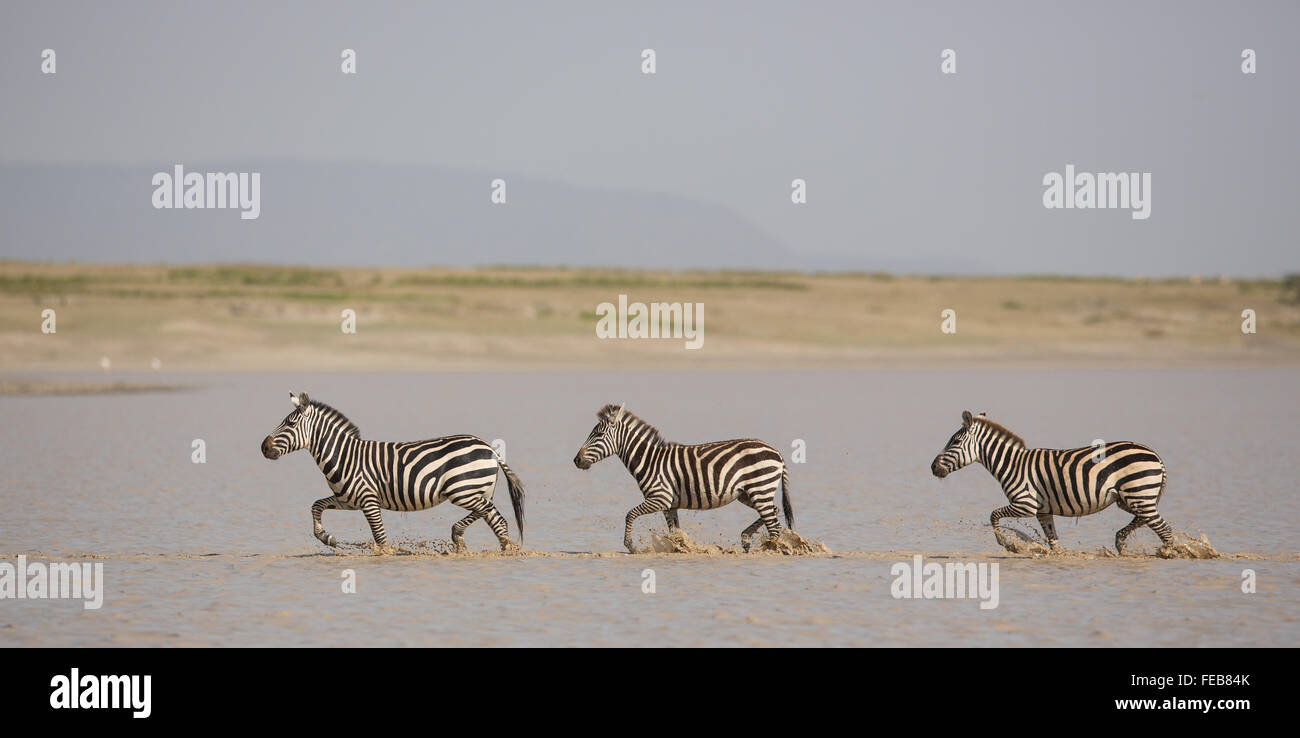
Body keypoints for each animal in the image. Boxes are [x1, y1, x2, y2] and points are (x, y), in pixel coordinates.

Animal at [260, 392, 525, 552]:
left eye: (290, 424)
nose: (263, 447)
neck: (344, 456)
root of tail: (489, 447)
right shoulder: (348, 499)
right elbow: (316, 506)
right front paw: (327, 538)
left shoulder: (368, 500)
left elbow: (380, 536)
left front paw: (385, 555)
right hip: (478, 490)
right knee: (491, 517)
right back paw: (488, 546)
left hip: (464, 490)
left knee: (494, 515)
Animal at [572, 403, 794, 553]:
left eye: (598, 435)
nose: (576, 460)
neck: (650, 460)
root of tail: (776, 452)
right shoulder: (670, 505)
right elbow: (674, 531)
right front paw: (680, 548)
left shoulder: (659, 498)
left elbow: (630, 514)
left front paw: (631, 546)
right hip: (748, 493)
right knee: (774, 511)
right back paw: (747, 539)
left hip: (760, 488)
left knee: (774, 525)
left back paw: (768, 549)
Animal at [930, 410, 1174, 554]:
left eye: (955, 441)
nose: (932, 467)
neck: (1012, 463)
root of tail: (1155, 455)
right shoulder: (1043, 511)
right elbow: (1052, 539)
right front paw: (1056, 557)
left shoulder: (1025, 504)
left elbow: (993, 515)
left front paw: (1006, 543)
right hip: (1131, 499)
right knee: (1144, 521)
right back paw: (1121, 543)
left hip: (1138, 494)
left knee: (1164, 529)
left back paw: (1170, 553)